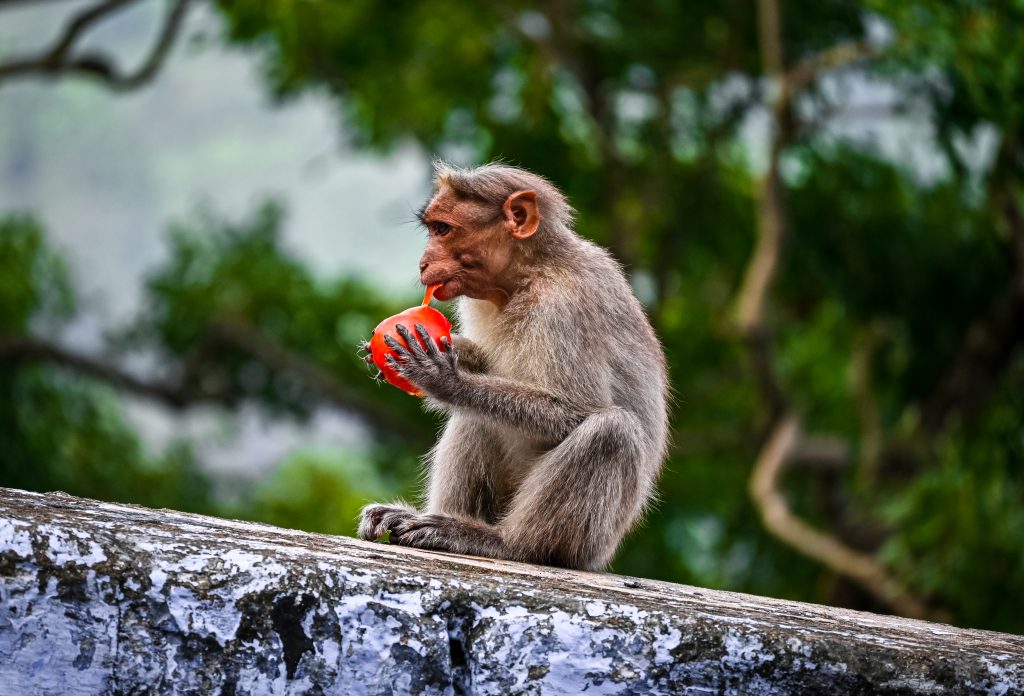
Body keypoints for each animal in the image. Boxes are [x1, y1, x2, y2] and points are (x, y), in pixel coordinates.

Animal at [357, 162, 669, 571]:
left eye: (443, 229)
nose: (423, 263)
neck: (527, 276)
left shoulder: (564, 309)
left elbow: (578, 409)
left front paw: (446, 381)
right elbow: (486, 364)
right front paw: (454, 351)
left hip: (595, 539)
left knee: (611, 431)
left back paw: (505, 543)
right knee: (478, 417)